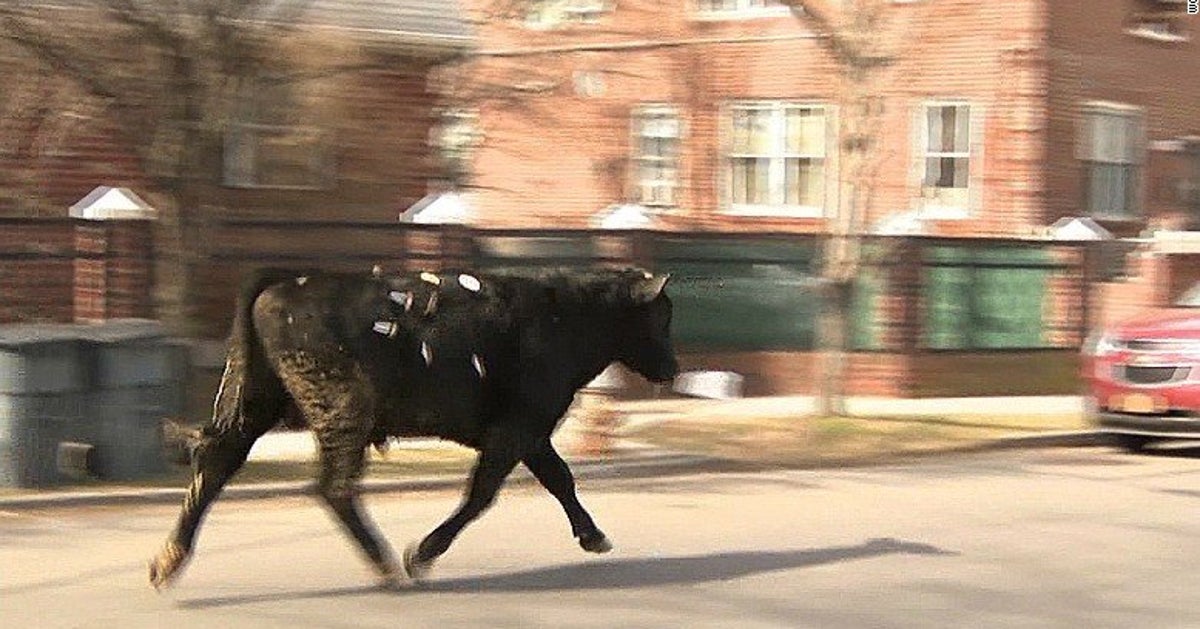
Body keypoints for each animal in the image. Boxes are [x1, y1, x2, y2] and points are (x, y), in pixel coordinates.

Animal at [148, 266, 678, 589]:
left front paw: (593, 535)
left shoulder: (528, 432)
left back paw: (168, 560)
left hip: (257, 405)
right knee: (334, 486)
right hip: (342, 412)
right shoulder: (517, 428)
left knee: (217, 462)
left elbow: (559, 479)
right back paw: (384, 563)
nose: (673, 369)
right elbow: (484, 492)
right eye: (662, 313)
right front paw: (423, 553)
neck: (566, 313)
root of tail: (288, 282)